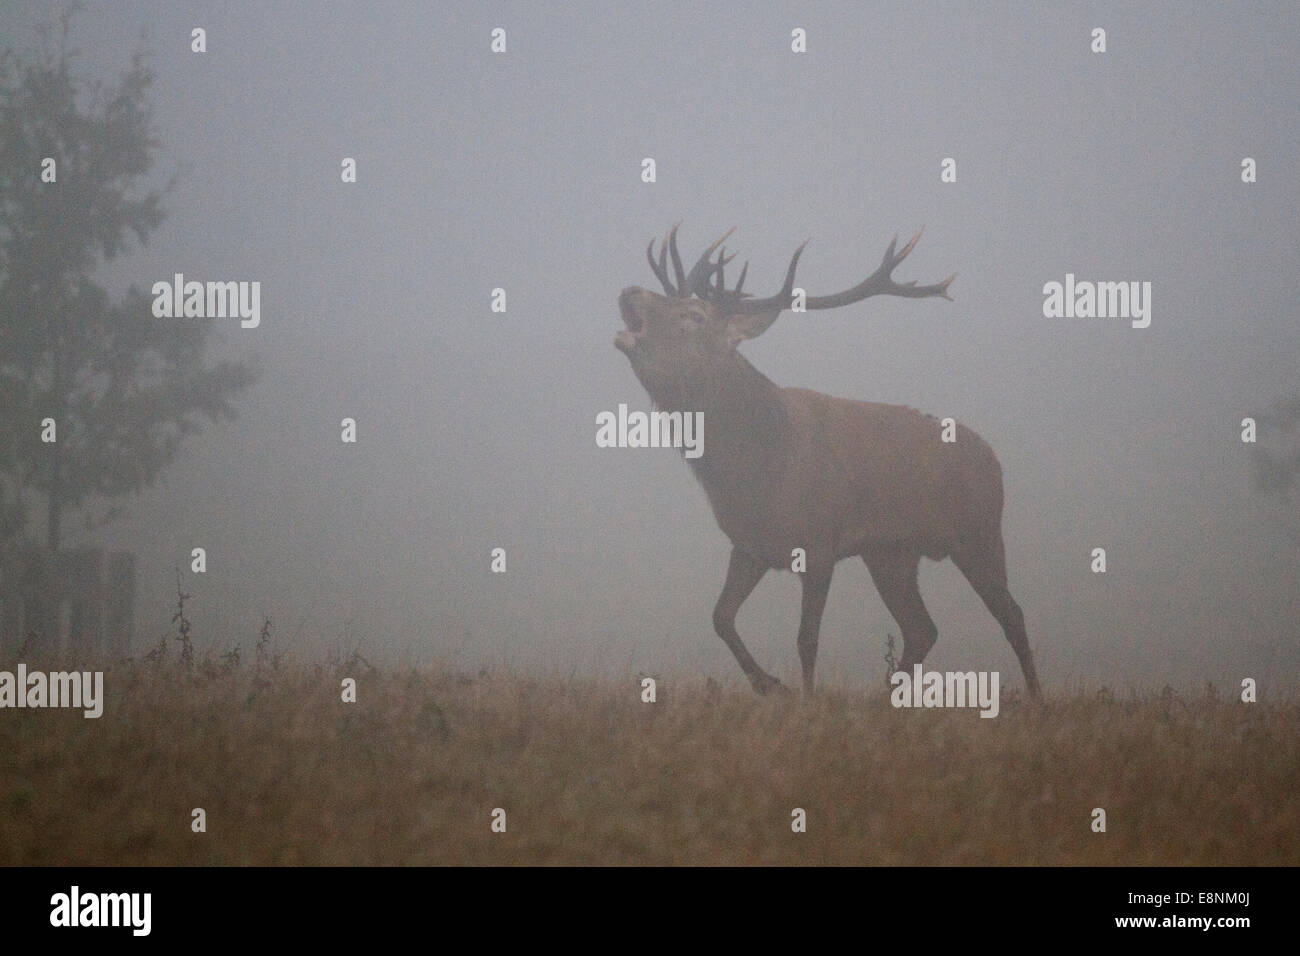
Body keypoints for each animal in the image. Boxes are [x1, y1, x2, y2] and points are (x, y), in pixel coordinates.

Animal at [615, 224, 1041, 698]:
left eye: (695, 316)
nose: (630, 291)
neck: (757, 469)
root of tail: (993, 457)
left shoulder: (819, 545)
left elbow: (807, 638)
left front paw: (805, 698)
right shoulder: (748, 545)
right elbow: (721, 618)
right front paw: (770, 685)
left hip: (978, 532)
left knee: (1011, 614)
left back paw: (1036, 697)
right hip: (892, 553)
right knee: (922, 628)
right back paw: (885, 697)